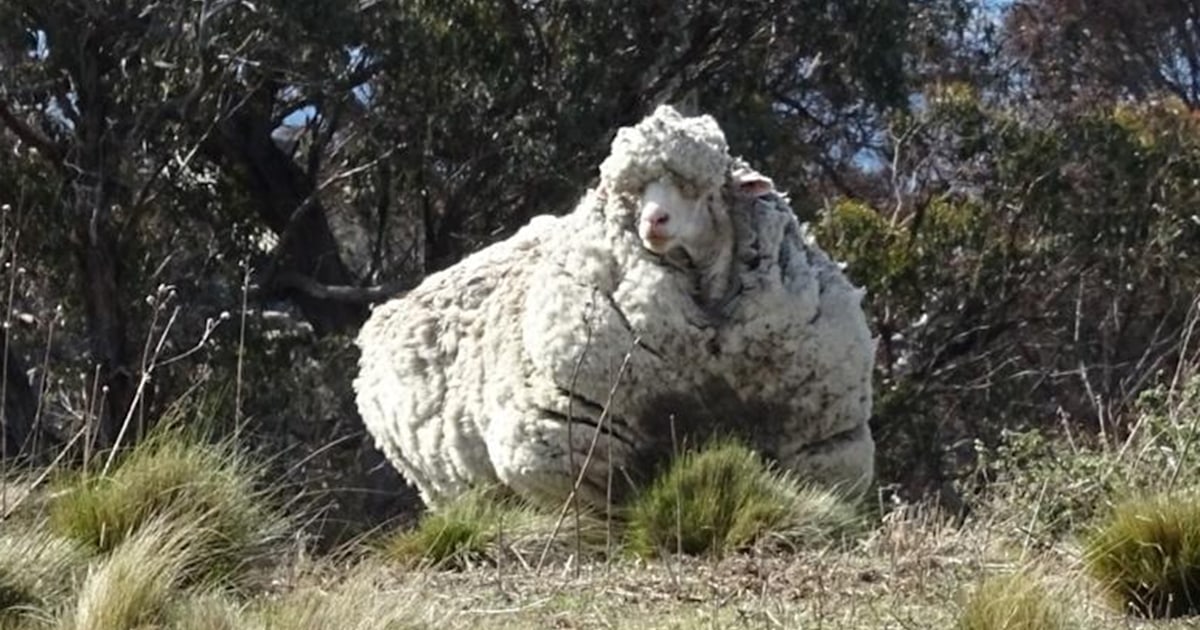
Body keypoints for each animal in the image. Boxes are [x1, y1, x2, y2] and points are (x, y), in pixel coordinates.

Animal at [353, 105, 876, 512]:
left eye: (701, 188)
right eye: (632, 193)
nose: (654, 221)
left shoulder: (820, 443)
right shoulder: (572, 446)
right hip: (448, 486)